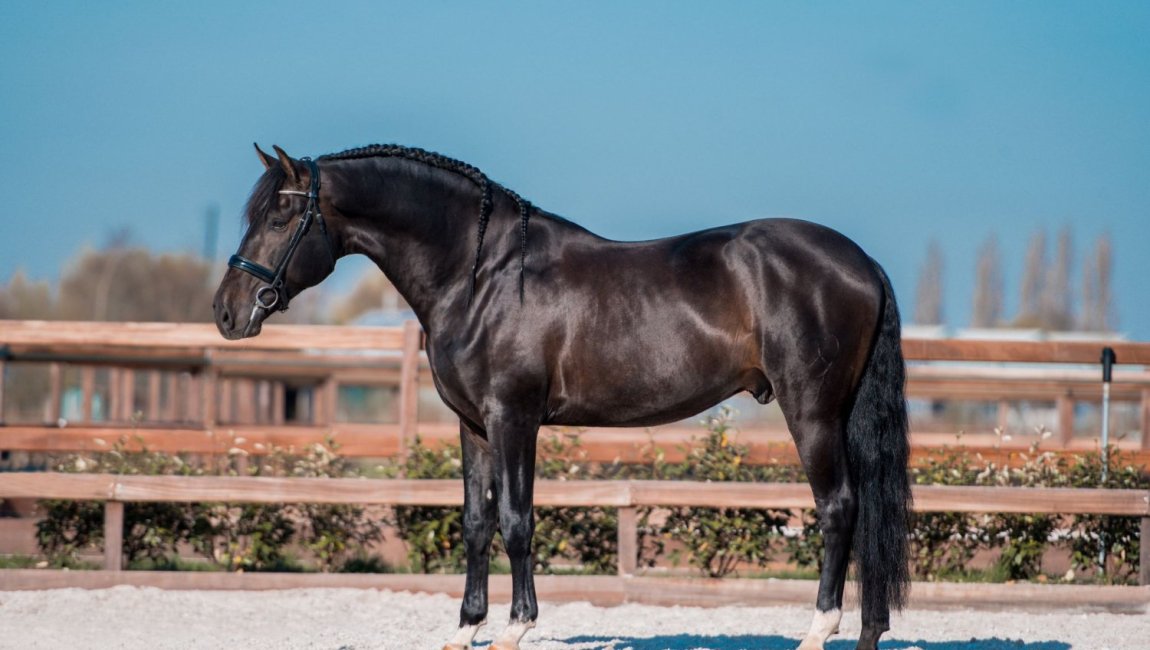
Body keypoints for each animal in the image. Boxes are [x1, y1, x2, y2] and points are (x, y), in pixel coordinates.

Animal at [213, 143, 912, 650]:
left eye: (279, 217)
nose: (226, 312)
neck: (481, 276)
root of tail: (863, 262)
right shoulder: (473, 425)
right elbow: (475, 523)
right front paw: (466, 628)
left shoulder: (514, 418)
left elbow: (517, 521)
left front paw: (516, 627)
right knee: (863, 512)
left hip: (811, 411)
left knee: (838, 508)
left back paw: (817, 632)